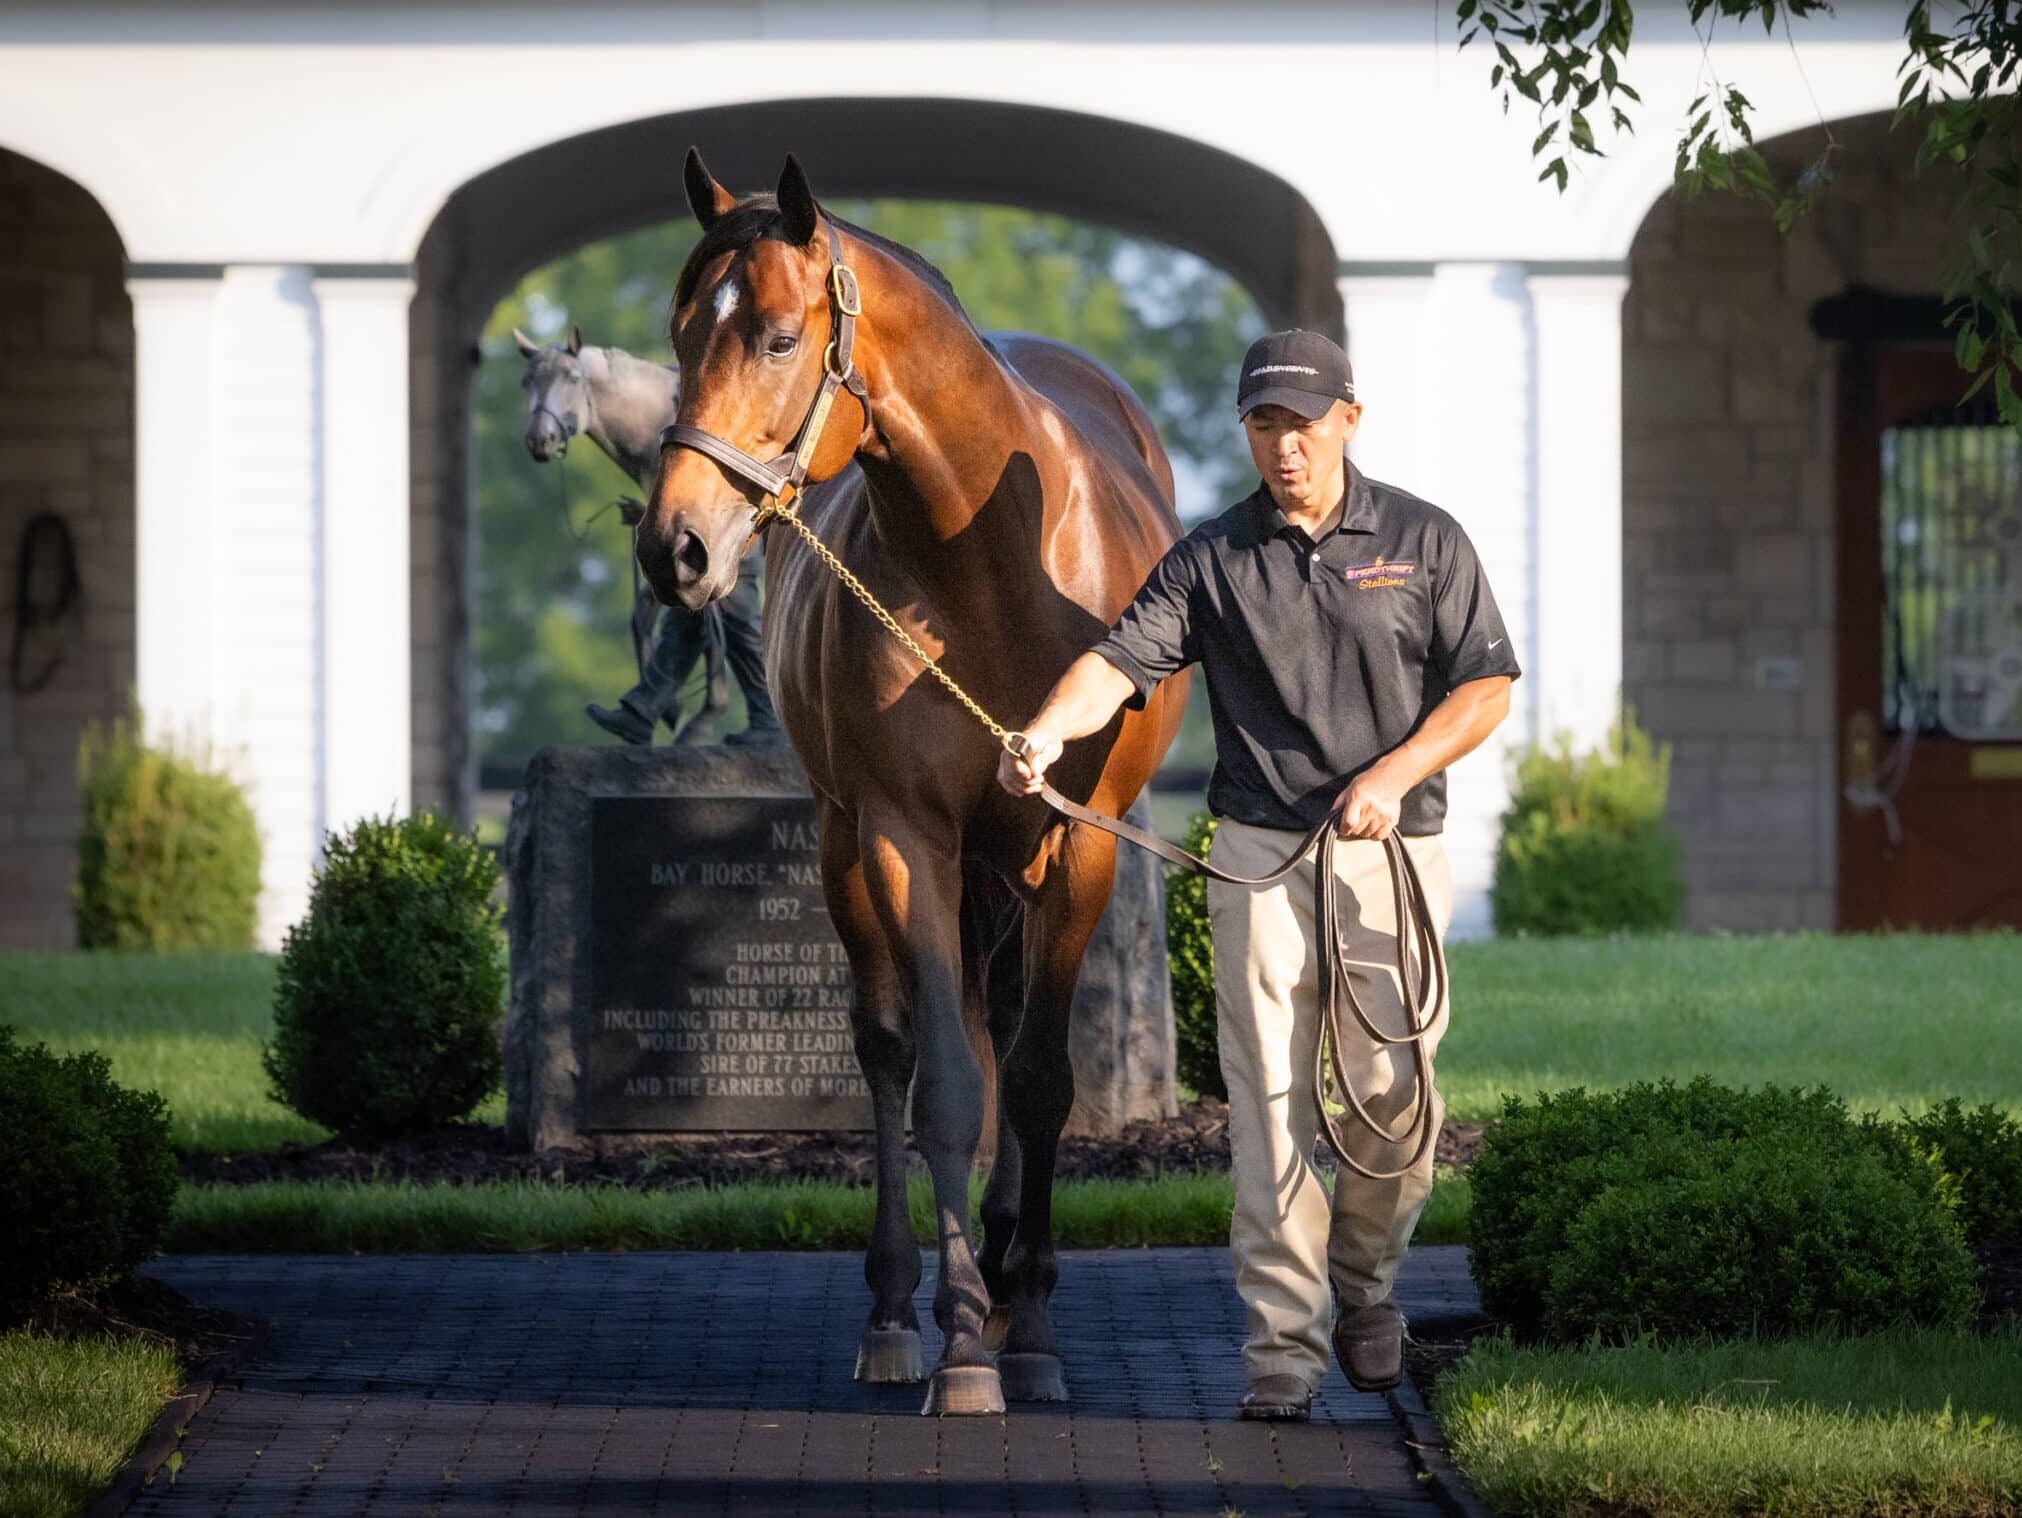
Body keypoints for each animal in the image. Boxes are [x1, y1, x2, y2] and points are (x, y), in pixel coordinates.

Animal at [635, 151, 1187, 1415]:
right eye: (680, 333)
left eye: (779, 338)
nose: (673, 548)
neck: (986, 567)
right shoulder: (905, 836)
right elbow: (944, 1087)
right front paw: (968, 1344)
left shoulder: (1080, 841)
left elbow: (1035, 1082)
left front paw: (1028, 1325)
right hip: (849, 845)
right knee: (889, 1048)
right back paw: (898, 1314)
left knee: (1003, 1034)